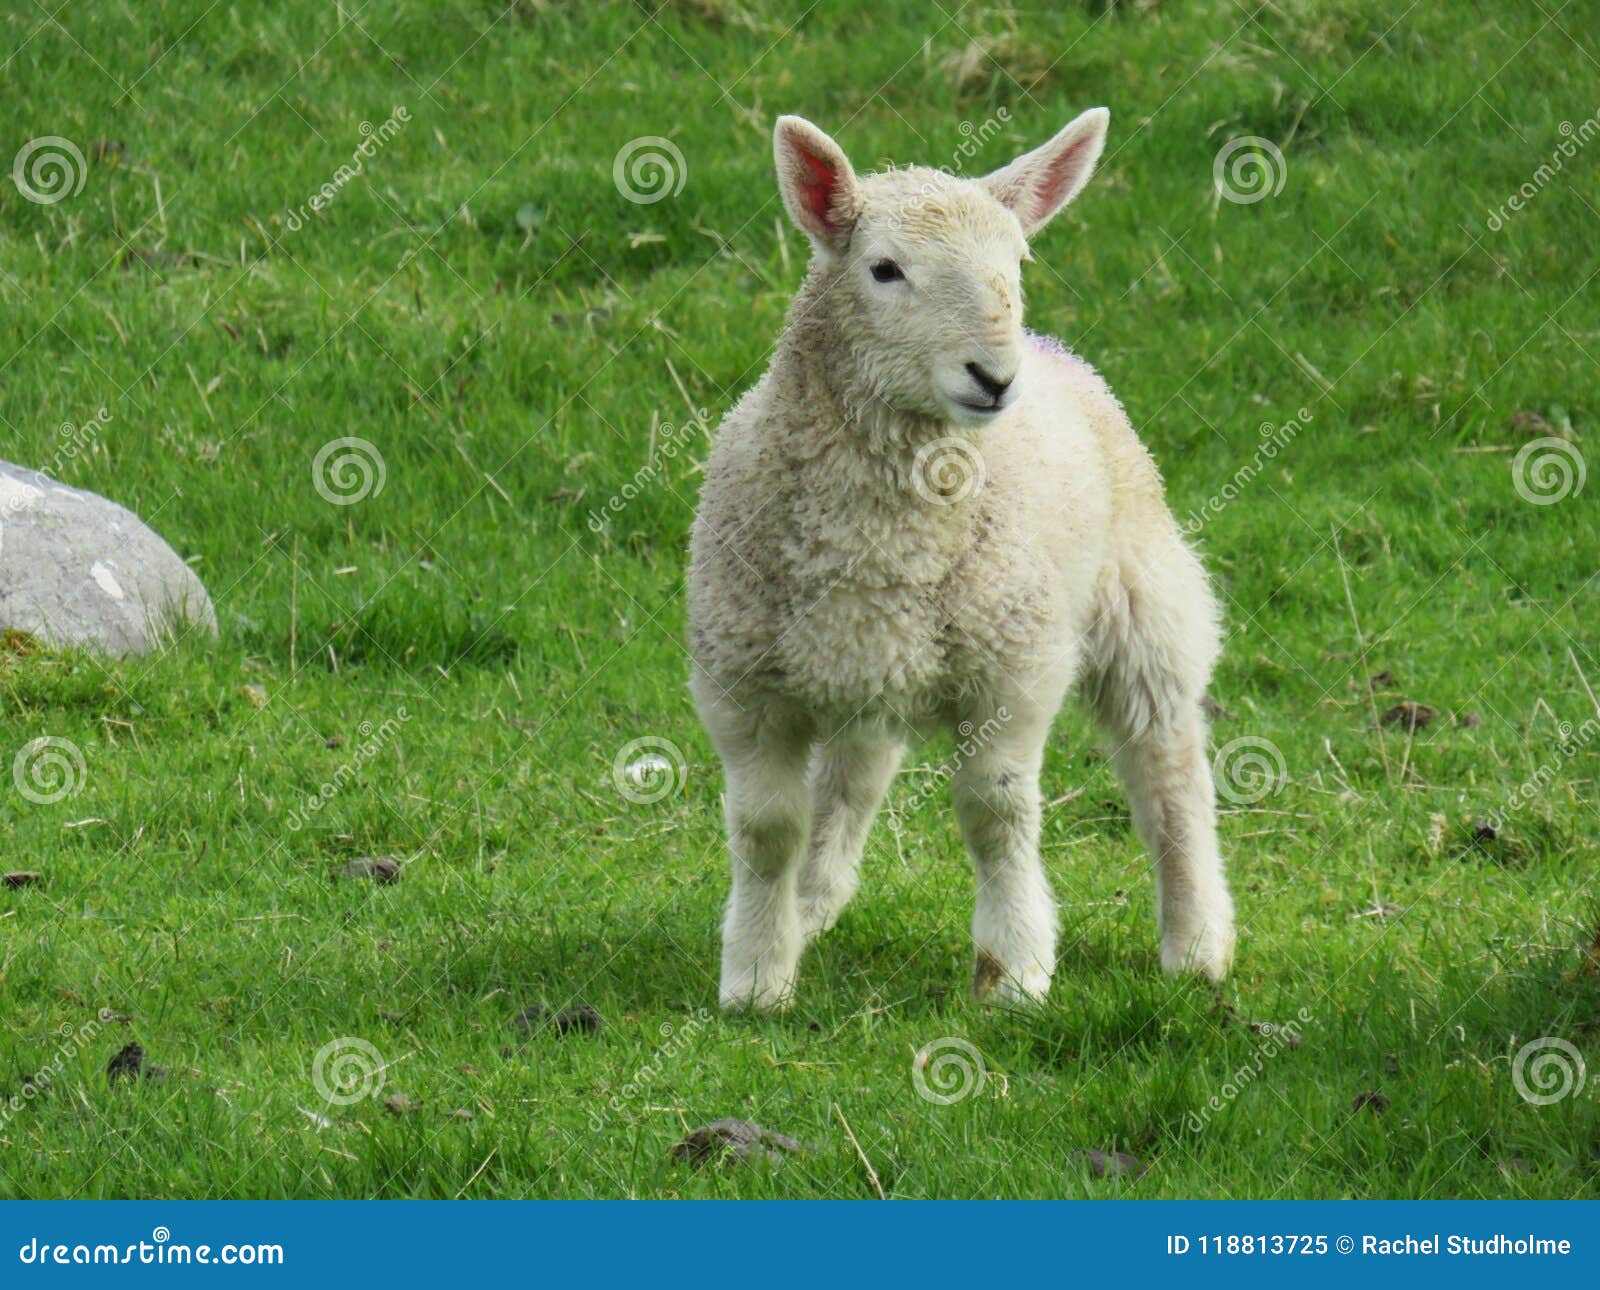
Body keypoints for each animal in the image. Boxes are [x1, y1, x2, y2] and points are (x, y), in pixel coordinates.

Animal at [686, 108, 1235, 1011]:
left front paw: (1013, 970)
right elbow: (766, 829)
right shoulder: (743, 686)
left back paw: (1195, 940)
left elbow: (995, 815)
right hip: (868, 663)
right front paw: (758, 975)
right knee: (852, 780)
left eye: (1014, 264)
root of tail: (1052, 348)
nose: (994, 376)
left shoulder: (1011, 670)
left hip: (1142, 601)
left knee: (1168, 766)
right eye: (883, 269)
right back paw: (813, 906)